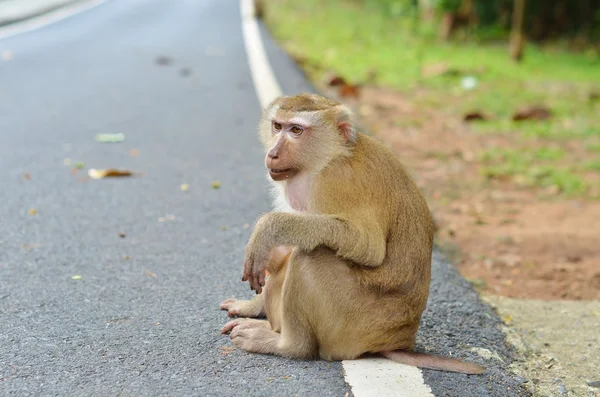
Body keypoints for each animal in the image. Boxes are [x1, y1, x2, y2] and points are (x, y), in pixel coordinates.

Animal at [218, 93, 486, 374]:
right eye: (277, 126)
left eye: (296, 130)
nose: (273, 153)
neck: (328, 156)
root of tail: (398, 339)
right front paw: (251, 306)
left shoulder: (337, 180)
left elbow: (368, 245)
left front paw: (269, 228)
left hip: (351, 325)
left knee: (310, 257)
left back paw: (287, 345)